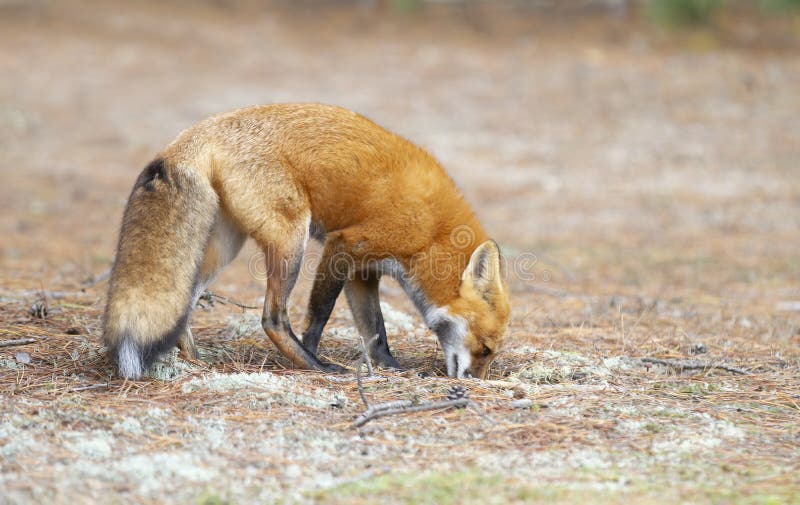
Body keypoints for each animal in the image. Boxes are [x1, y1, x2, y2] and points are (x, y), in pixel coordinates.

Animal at [103, 103, 510, 380]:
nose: (474, 383)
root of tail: (199, 131)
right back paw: (313, 364)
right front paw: (318, 355)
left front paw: (390, 367)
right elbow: (320, 315)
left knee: (185, 300)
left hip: (224, 246)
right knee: (272, 318)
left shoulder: (365, 271)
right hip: (290, 240)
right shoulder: (344, 245)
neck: (432, 234)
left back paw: (194, 360)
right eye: (485, 349)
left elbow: (376, 330)